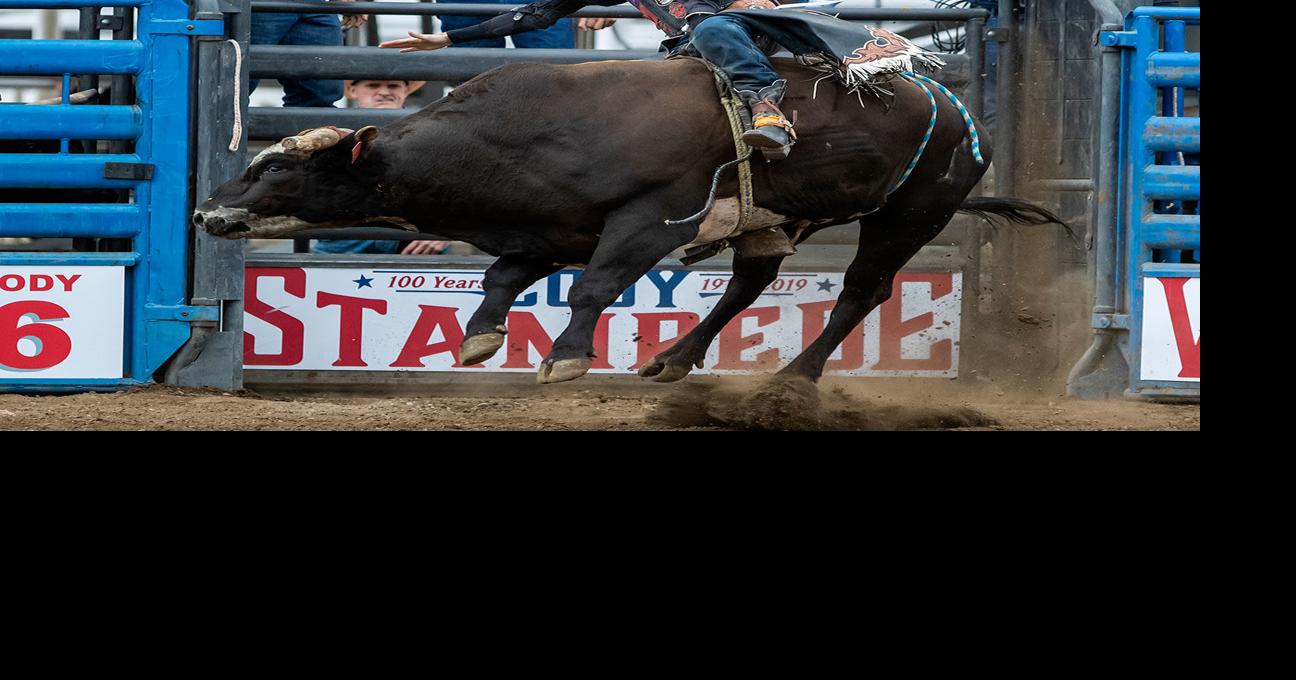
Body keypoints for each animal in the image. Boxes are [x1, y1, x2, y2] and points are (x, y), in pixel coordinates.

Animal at [195, 57, 1065, 384]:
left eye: (277, 169)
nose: (206, 211)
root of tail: (959, 110)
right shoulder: (551, 230)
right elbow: (503, 276)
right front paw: (478, 337)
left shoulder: (650, 219)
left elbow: (593, 289)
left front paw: (565, 358)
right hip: (778, 220)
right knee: (746, 286)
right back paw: (674, 358)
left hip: (910, 211)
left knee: (860, 290)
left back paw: (796, 373)